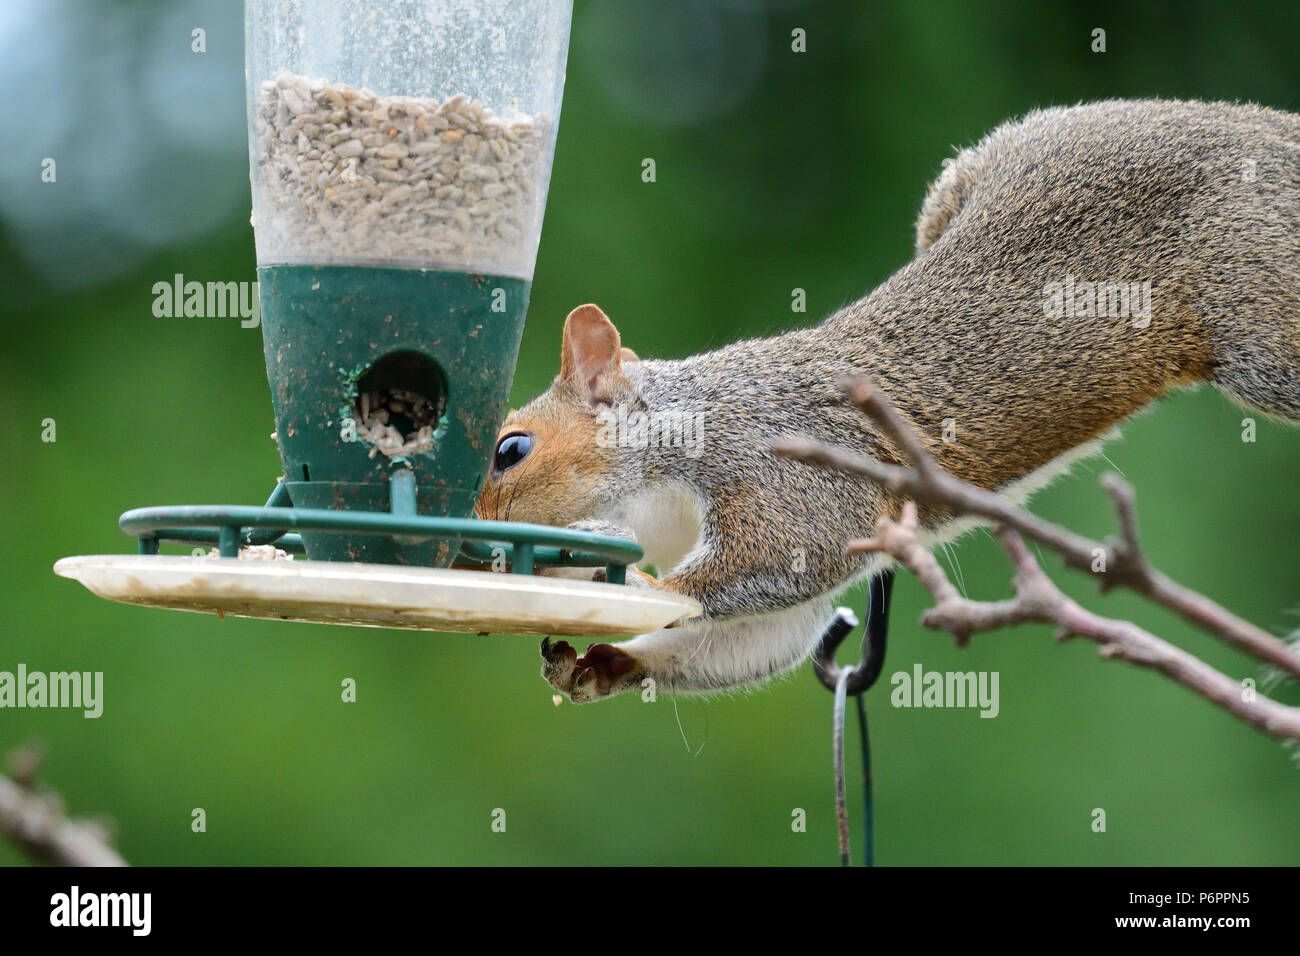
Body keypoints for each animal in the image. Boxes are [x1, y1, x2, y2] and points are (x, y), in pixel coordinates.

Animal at [475, 99, 1300, 704]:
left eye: (511, 449)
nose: (471, 549)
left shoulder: (786, 473)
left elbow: (762, 563)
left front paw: (642, 585)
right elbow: (757, 636)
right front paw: (605, 664)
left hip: (1261, 314)